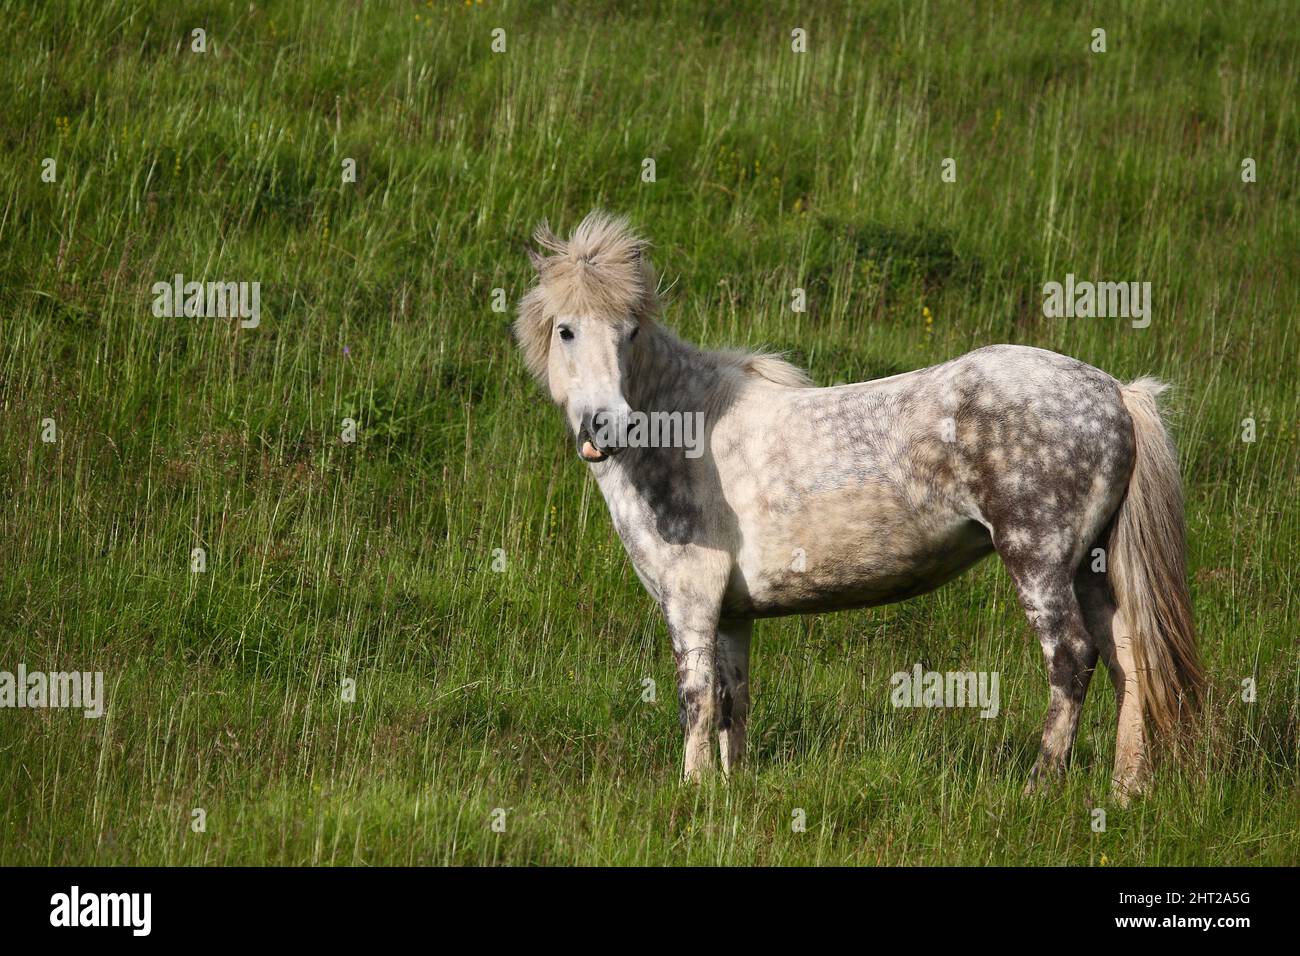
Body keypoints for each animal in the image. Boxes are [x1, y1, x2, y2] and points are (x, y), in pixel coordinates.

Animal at [514, 211, 1203, 799]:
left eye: (630, 332)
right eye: (566, 330)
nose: (609, 426)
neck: (684, 430)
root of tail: (1116, 393)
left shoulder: (692, 600)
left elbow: (697, 697)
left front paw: (697, 787)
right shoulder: (733, 613)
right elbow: (734, 701)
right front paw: (732, 788)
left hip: (1039, 560)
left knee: (1073, 660)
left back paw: (1040, 785)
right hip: (1091, 567)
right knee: (1129, 662)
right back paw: (1126, 790)